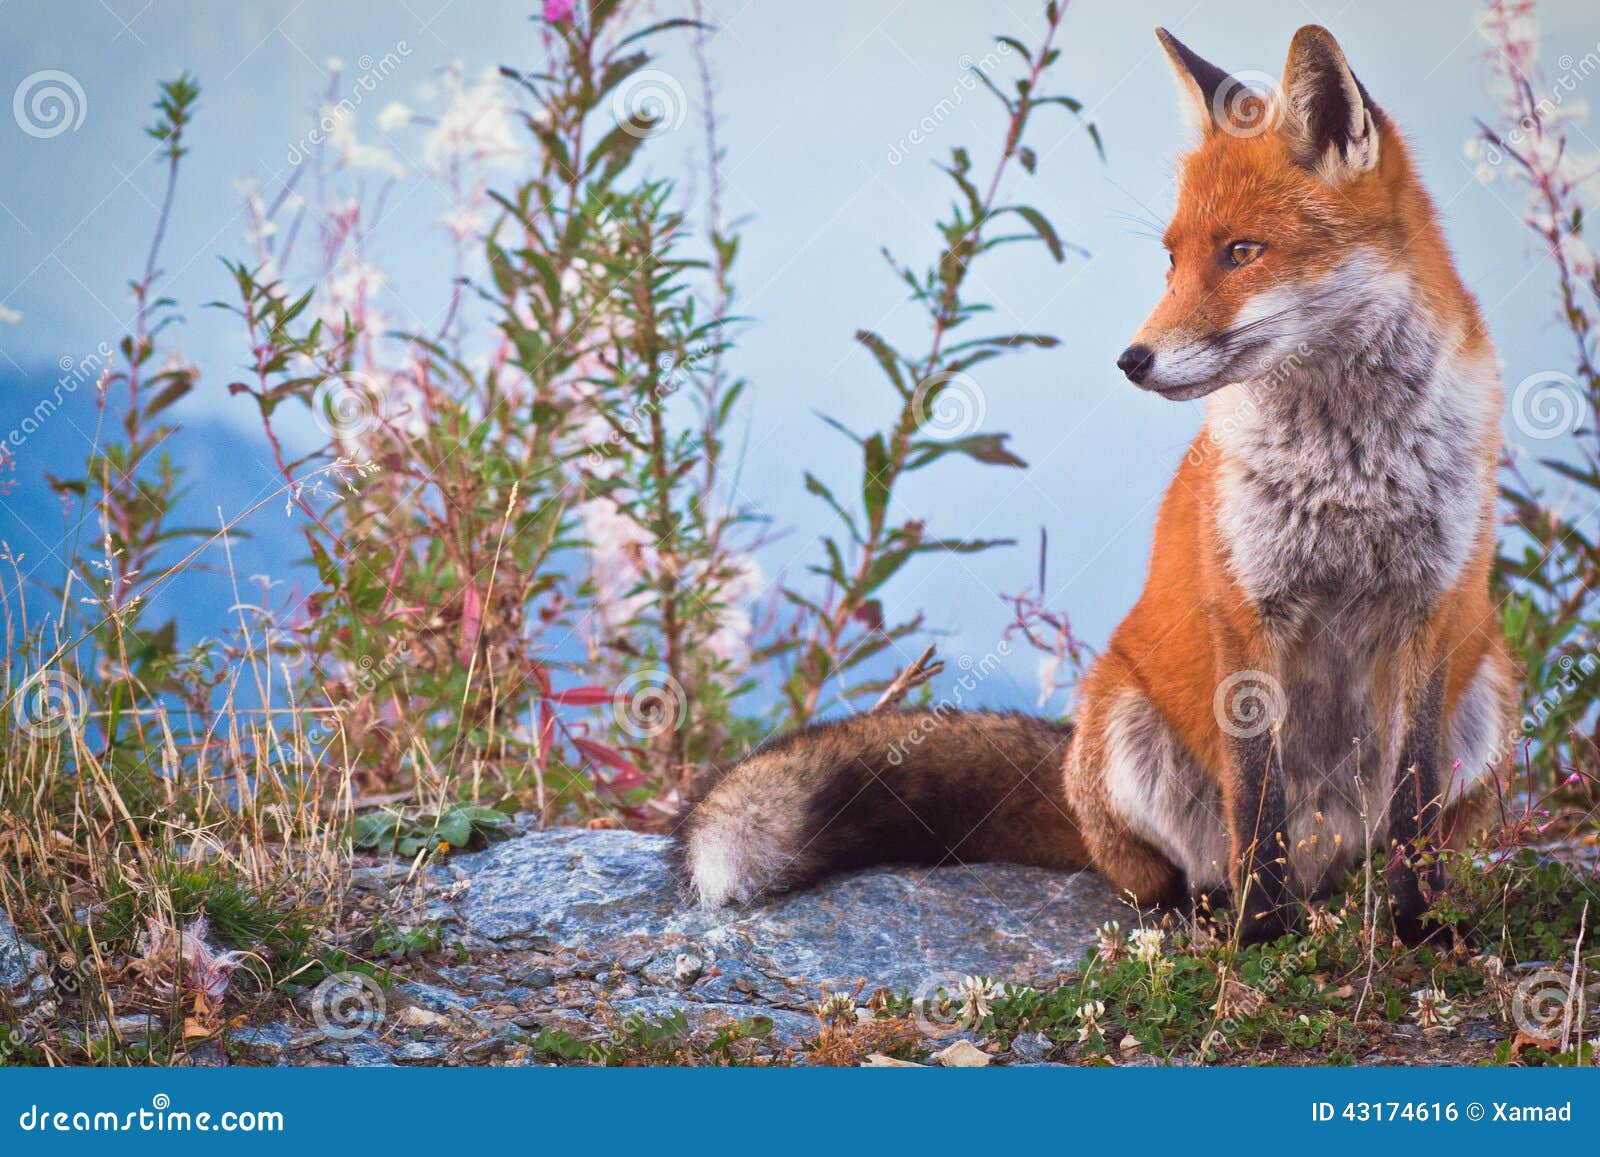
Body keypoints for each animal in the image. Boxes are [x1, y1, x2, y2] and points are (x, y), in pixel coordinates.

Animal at [674, 25, 1513, 945]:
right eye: (1171, 258)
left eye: (1243, 252)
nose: (1132, 359)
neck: (1348, 464)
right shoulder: (1245, 611)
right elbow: (1257, 805)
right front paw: (1262, 937)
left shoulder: (1432, 610)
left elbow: (1413, 805)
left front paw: (1420, 929)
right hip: (1121, 723)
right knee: (1161, 871)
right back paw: (1209, 913)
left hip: (1491, 691)